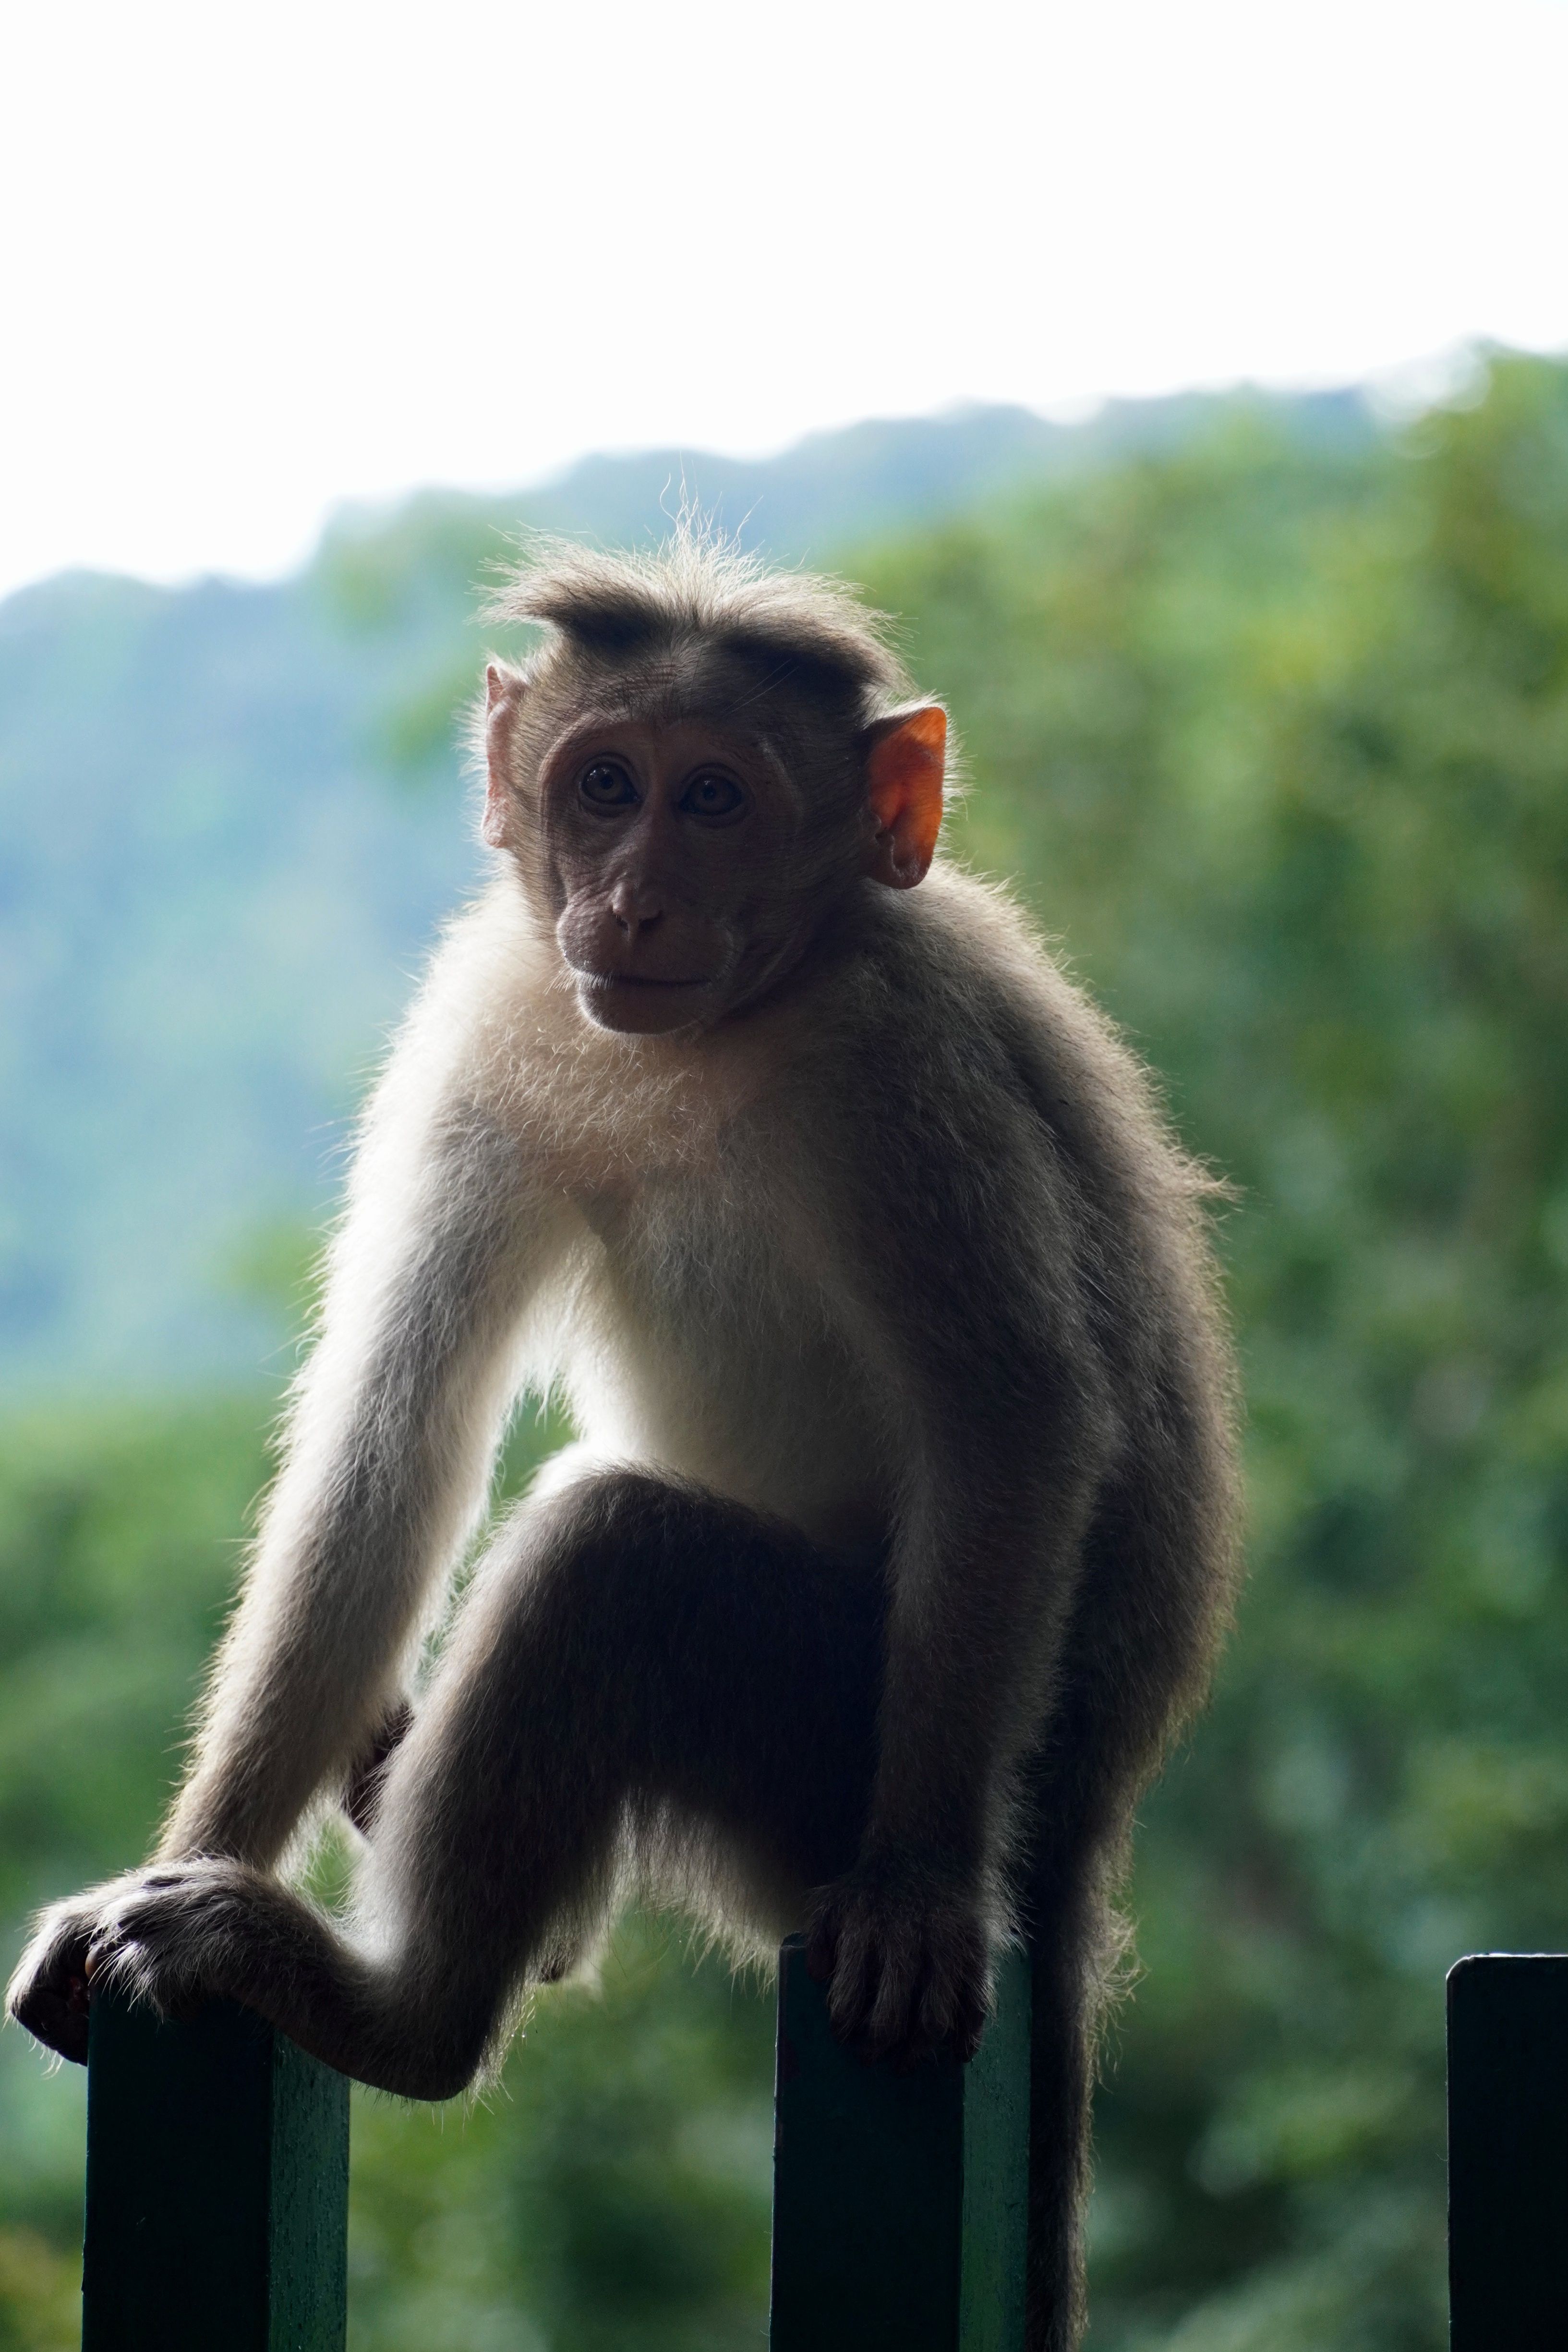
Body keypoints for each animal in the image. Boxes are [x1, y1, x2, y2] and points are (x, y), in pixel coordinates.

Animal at [8, 531, 1239, 2352]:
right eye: (603, 787)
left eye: (714, 799)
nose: (630, 899)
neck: (730, 1026)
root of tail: (1081, 1823)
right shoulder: (498, 1010)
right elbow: (392, 1445)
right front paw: (183, 1851)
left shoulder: (898, 1059)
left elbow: (1012, 1416)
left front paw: (917, 1887)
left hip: (816, 1741)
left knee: (616, 1561)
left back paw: (407, 2018)